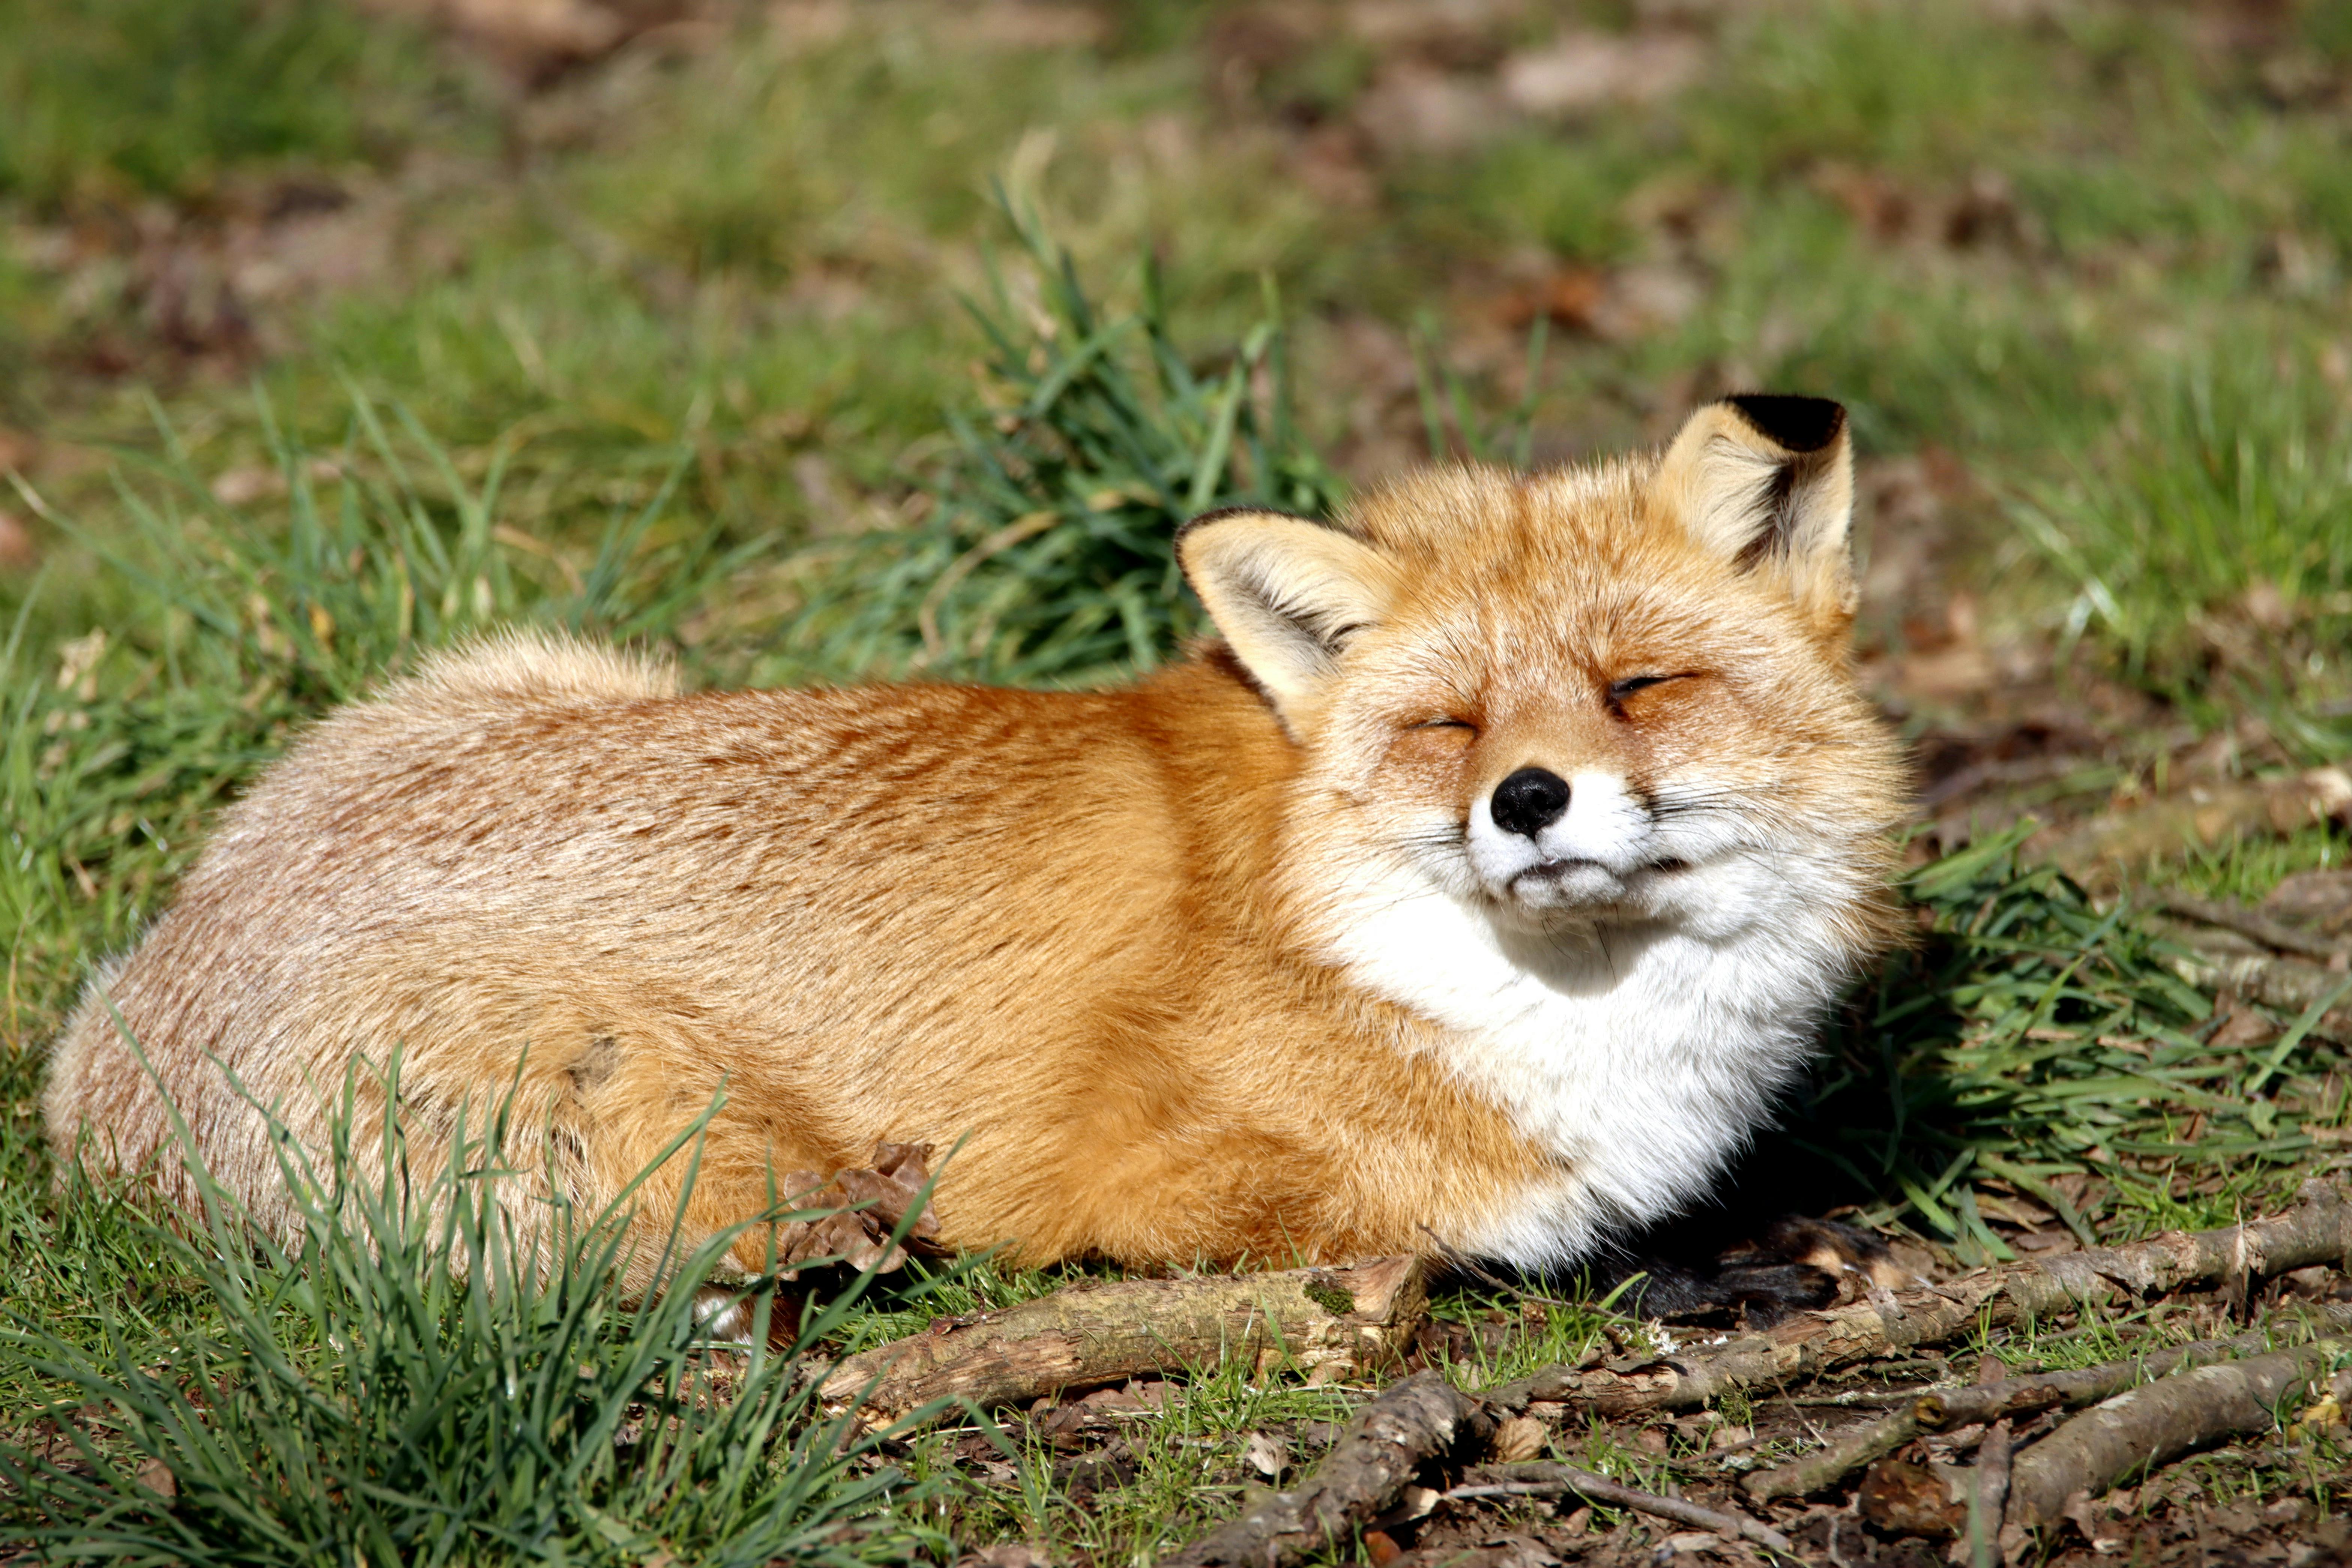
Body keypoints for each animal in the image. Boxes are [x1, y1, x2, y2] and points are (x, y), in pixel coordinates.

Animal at [44, 395, 1906, 1286]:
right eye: (1449, 726)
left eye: (1636, 685)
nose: (1526, 798)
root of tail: (120, 1016)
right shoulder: (1160, 1181)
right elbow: (1508, 1242)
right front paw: (1711, 1266)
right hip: (711, 1143)